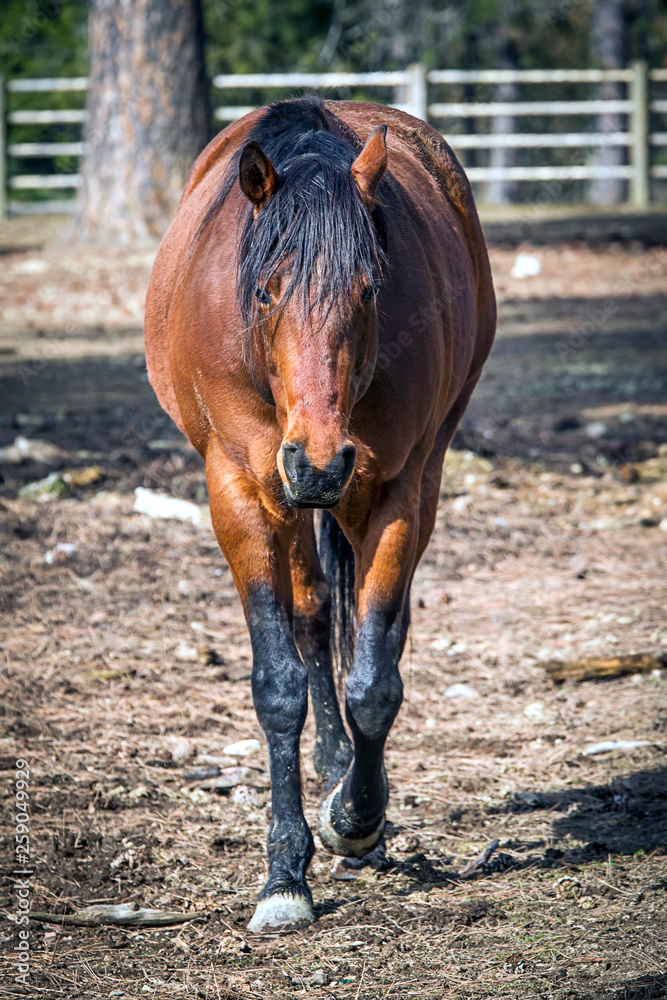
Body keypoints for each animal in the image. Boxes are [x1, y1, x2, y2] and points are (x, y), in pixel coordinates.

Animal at [145, 96, 496, 933]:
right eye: (266, 292)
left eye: (368, 290)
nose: (319, 460)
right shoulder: (239, 489)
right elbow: (279, 683)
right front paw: (283, 877)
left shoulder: (398, 489)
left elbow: (373, 678)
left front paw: (357, 818)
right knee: (309, 618)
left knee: (374, 628)